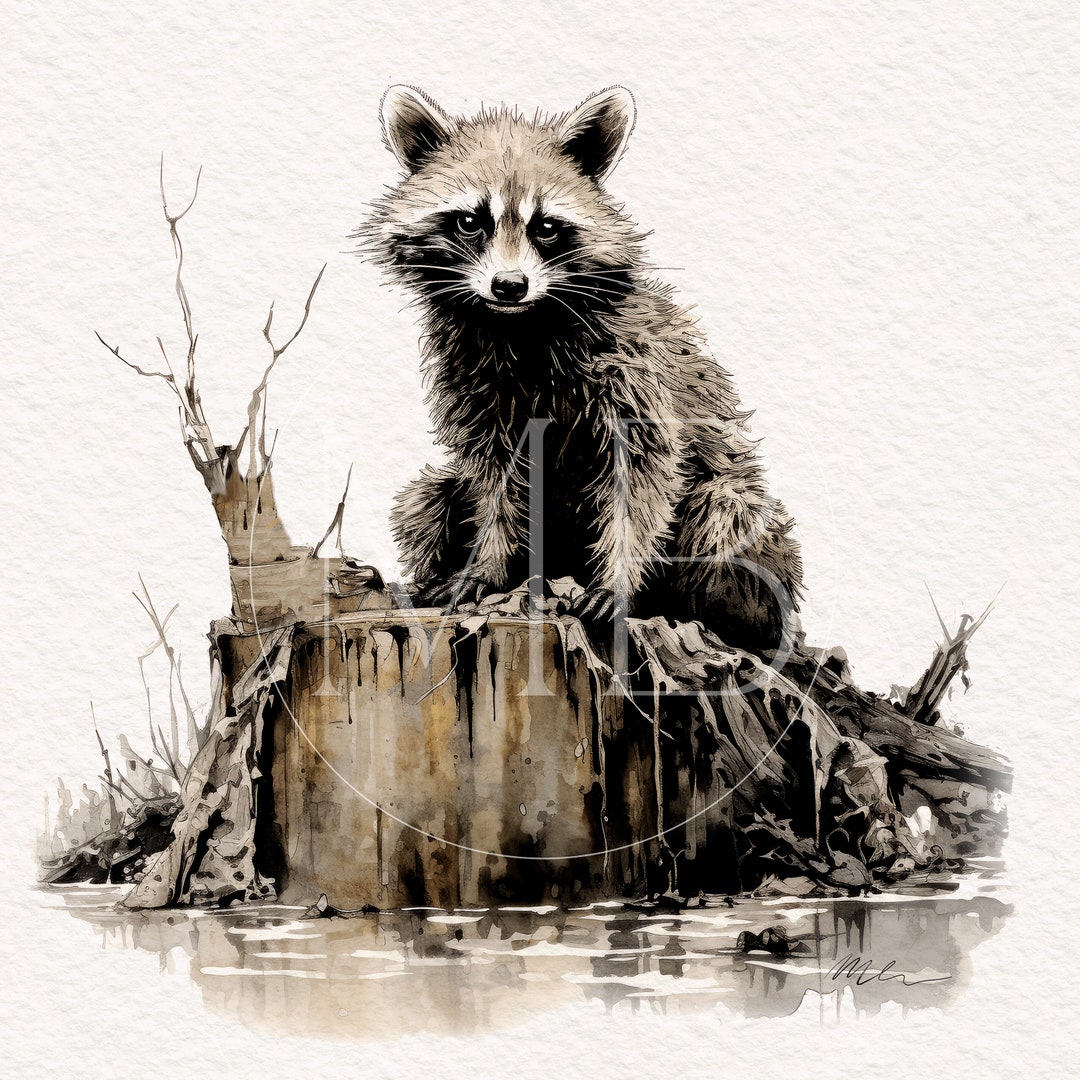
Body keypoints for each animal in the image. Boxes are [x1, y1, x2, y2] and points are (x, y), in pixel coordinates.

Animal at [359, 86, 803, 653]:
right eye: (469, 221)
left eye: (546, 227)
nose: (509, 285)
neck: (520, 326)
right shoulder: (476, 385)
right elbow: (493, 481)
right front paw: (487, 563)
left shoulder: (634, 371)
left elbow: (644, 474)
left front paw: (618, 578)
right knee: (427, 498)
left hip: (751, 534)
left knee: (723, 510)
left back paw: (719, 616)